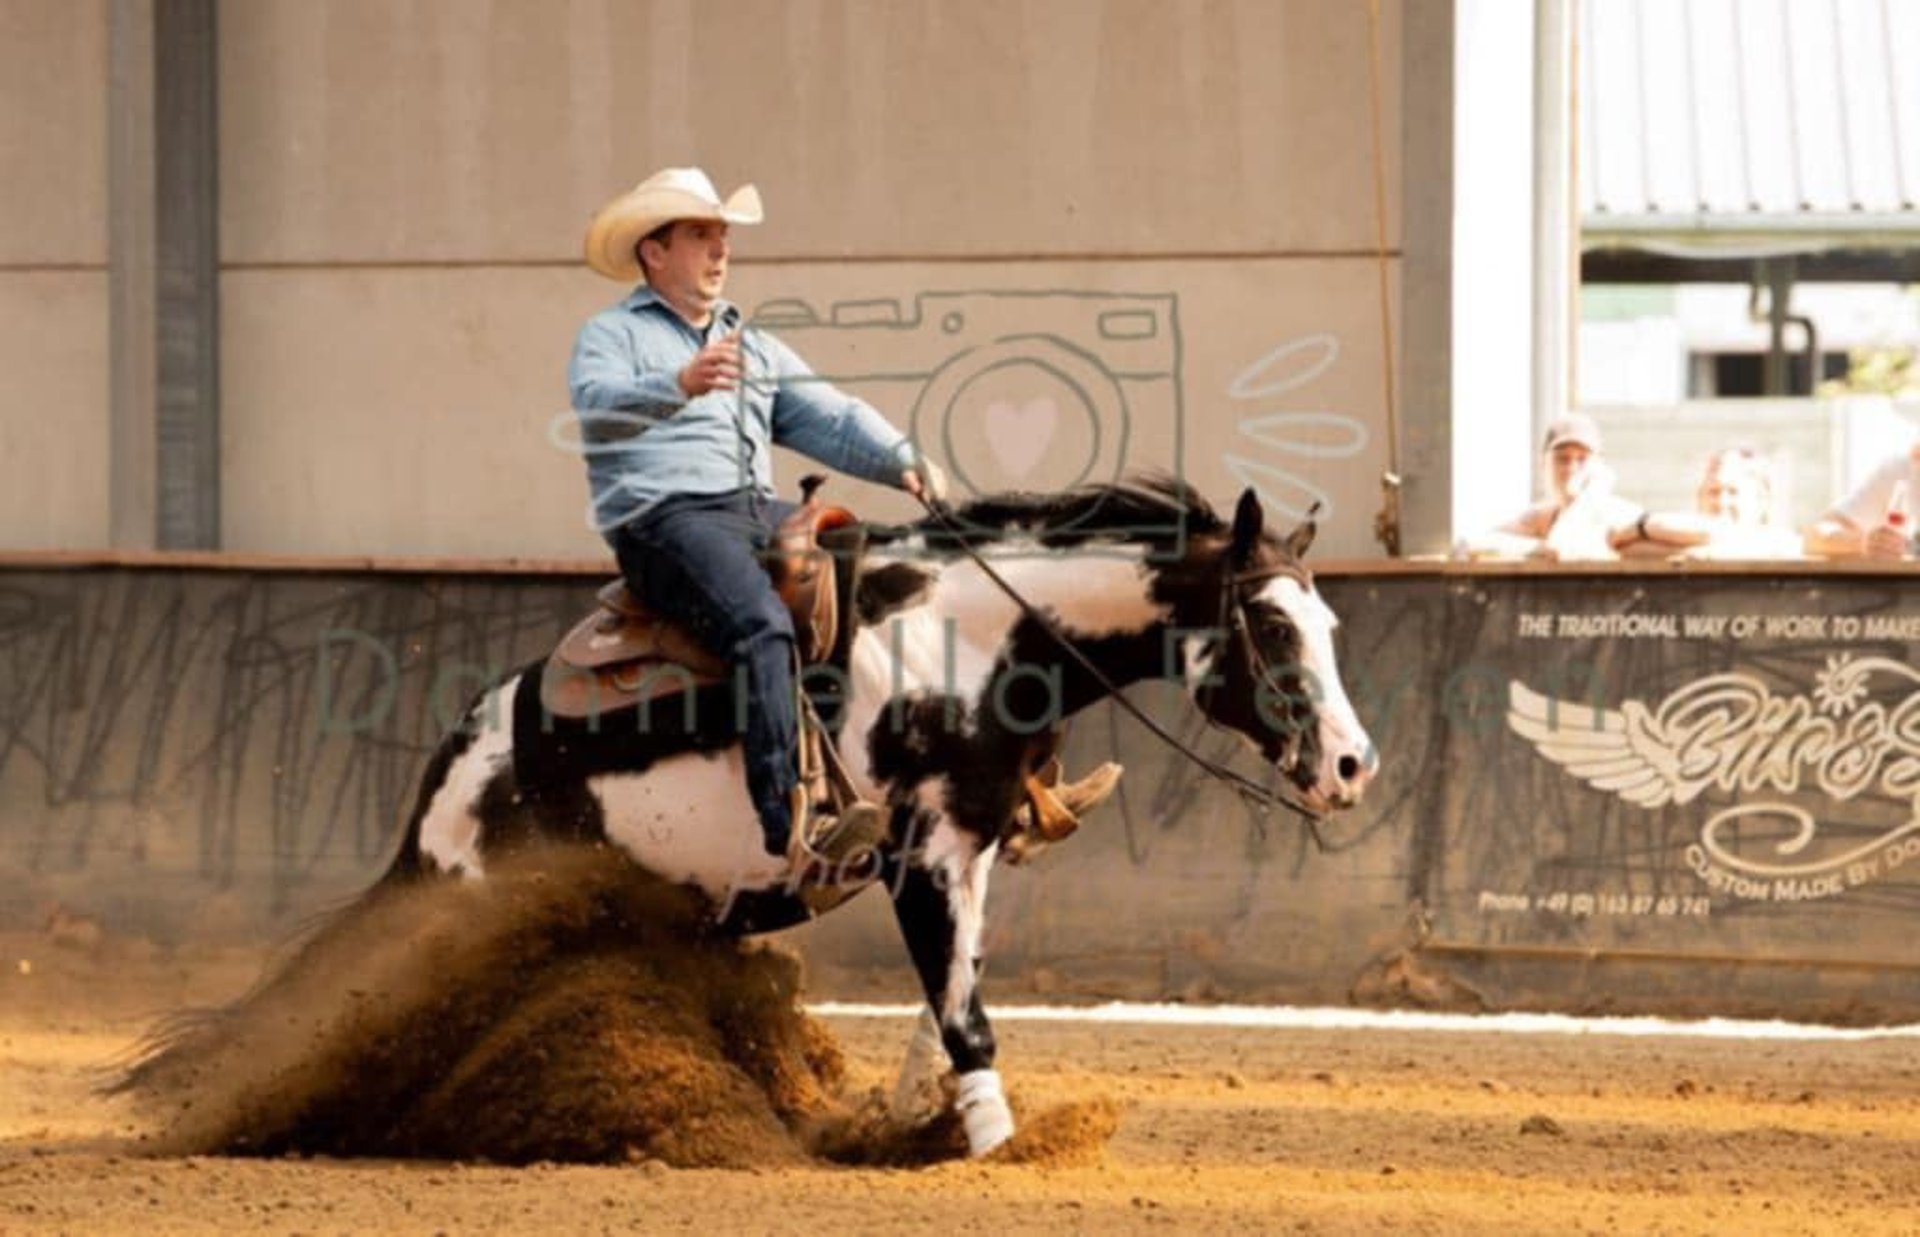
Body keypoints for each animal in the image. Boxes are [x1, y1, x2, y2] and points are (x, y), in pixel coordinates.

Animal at [390, 476, 1377, 1156]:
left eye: (1328, 624)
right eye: (1272, 625)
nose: (1352, 763)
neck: (966, 641)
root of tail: (447, 779)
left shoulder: (972, 848)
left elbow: (948, 995)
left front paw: (918, 1122)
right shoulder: (920, 856)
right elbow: (963, 1014)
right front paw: (997, 1146)